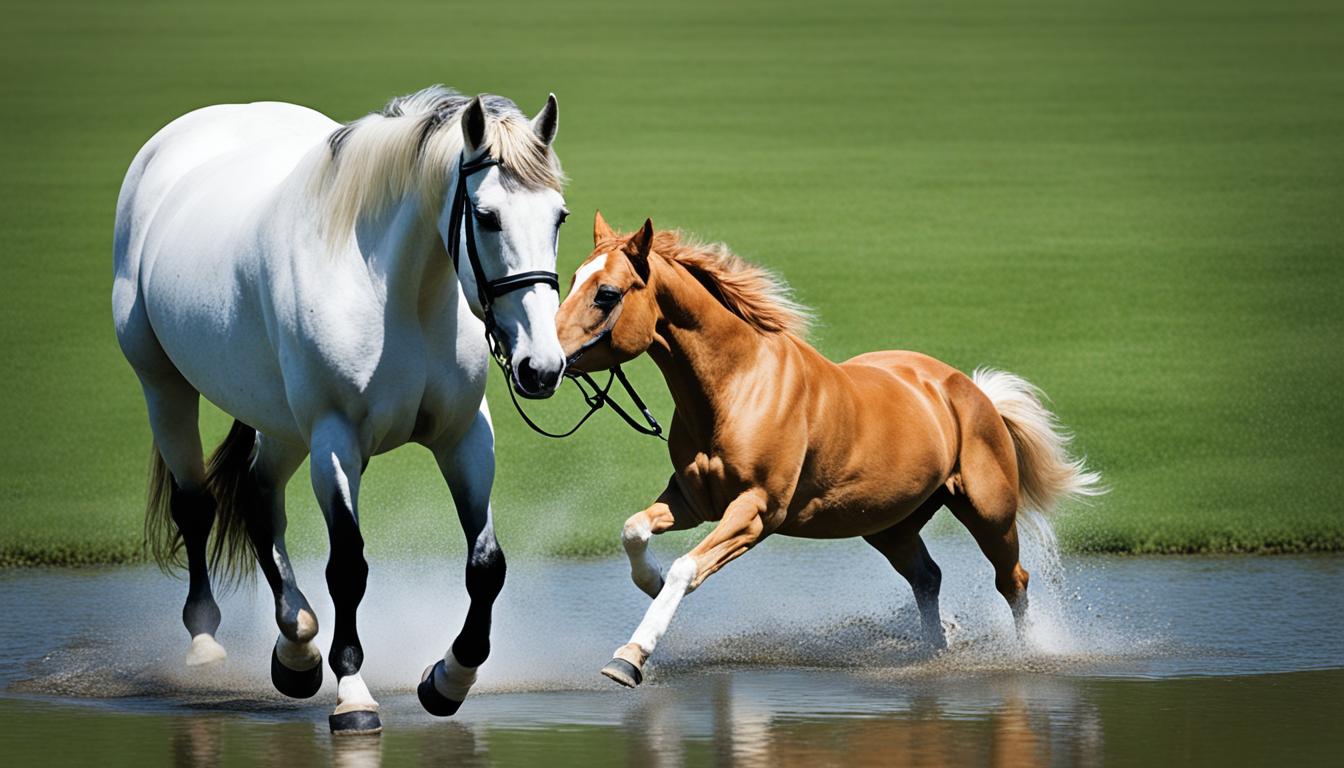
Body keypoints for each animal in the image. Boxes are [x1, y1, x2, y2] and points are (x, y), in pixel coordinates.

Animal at [113, 86, 570, 733]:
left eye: (559, 216)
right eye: (486, 216)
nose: (541, 365)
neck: (394, 292)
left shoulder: (463, 437)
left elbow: (486, 566)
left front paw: (448, 679)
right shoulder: (335, 442)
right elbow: (348, 567)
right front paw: (353, 693)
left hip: (281, 425)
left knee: (258, 498)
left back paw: (296, 650)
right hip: (165, 387)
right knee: (197, 505)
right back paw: (207, 642)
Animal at [555, 214, 1104, 687]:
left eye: (606, 294)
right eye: (571, 280)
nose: (546, 361)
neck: (738, 387)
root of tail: (970, 390)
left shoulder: (756, 512)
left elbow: (688, 568)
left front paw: (630, 656)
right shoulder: (694, 501)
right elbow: (633, 530)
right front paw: (651, 581)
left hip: (988, 512)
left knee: (1013, 580)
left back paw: (1026, 655)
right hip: (888, 526)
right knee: (927, 578)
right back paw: (934, 650)